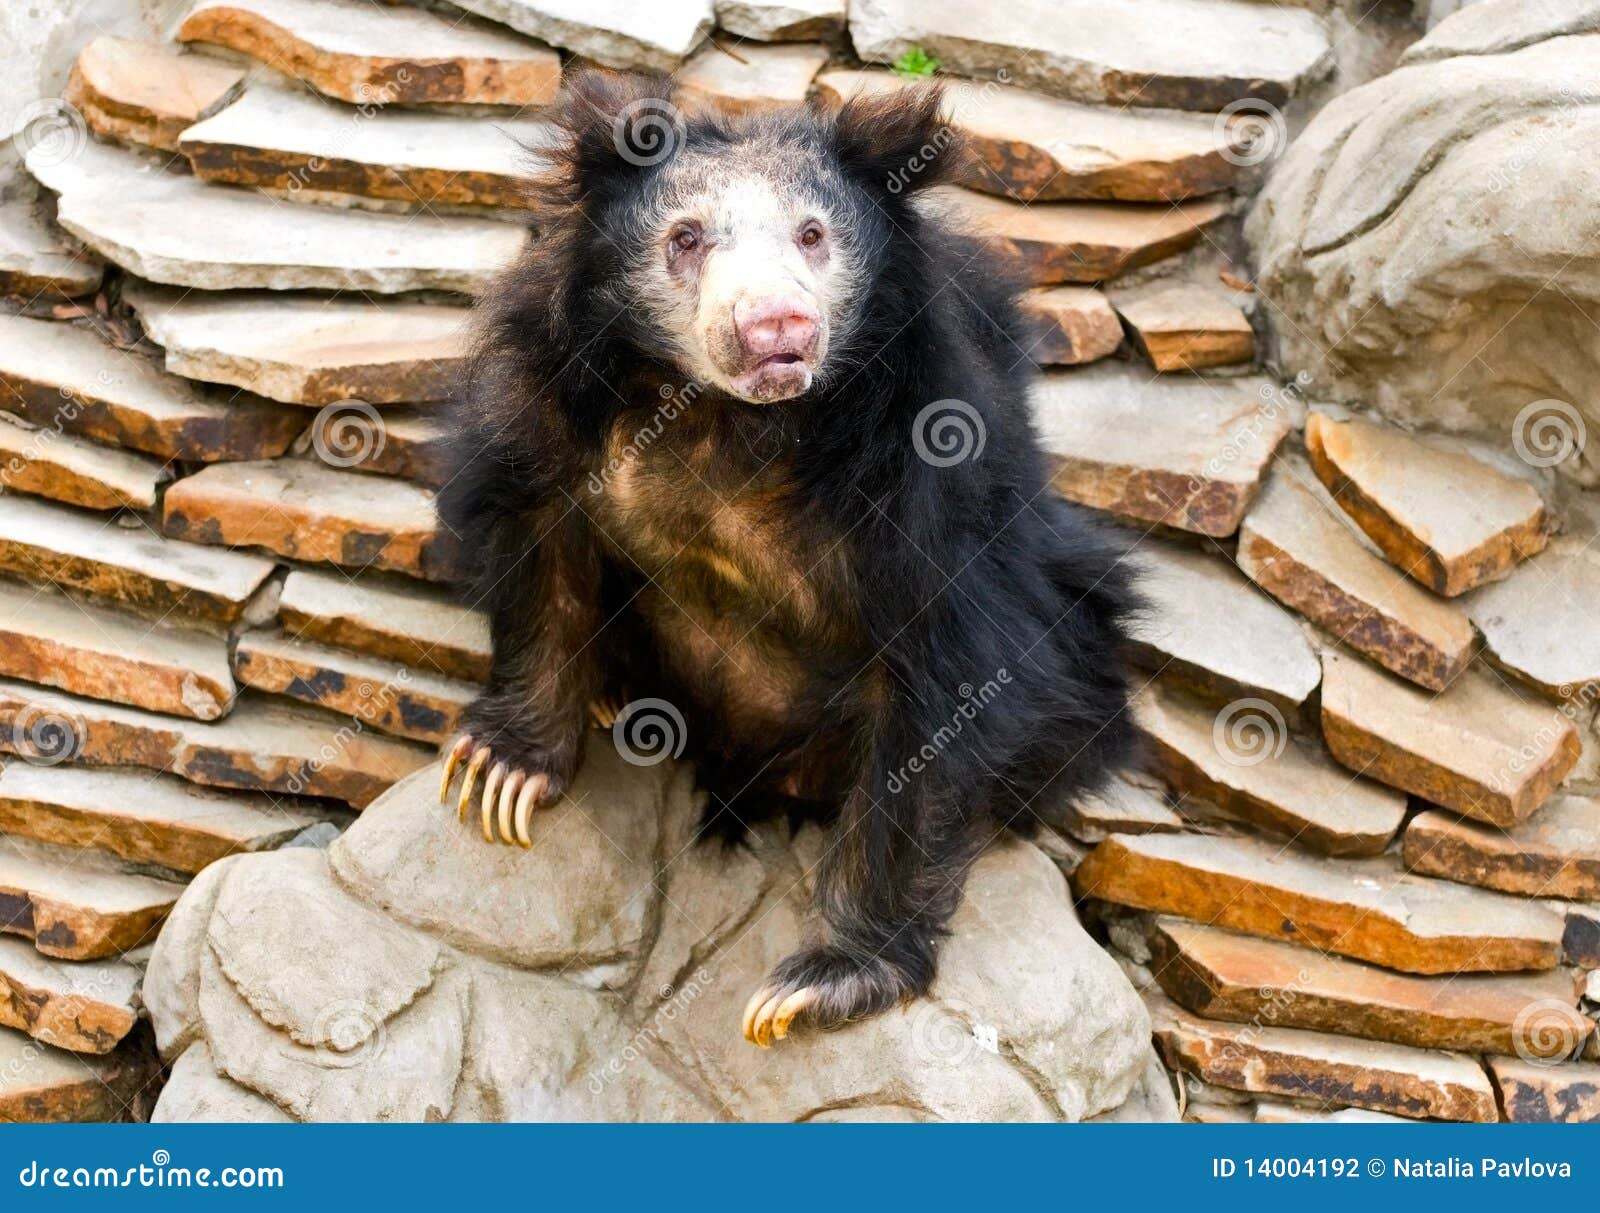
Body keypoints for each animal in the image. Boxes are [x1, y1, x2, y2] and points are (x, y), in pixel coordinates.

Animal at [436, 71, 1138, 1047]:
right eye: (686, 238)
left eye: (812, 235)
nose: (778, 325)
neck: (729, 418)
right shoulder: (554, 406)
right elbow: (544, 544)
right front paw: (501, 772)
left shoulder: (928, 480)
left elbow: (946, 688)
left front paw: (819, 983)